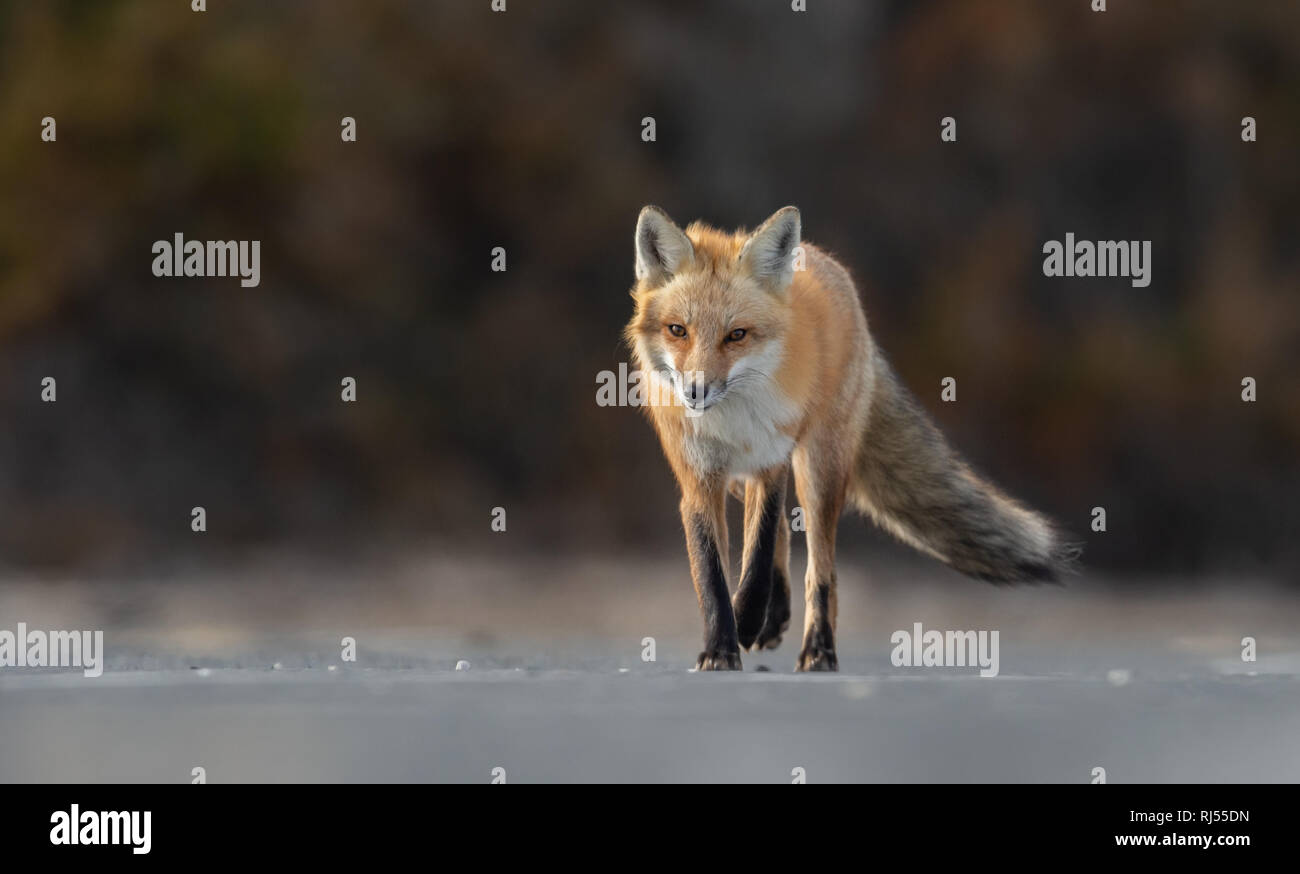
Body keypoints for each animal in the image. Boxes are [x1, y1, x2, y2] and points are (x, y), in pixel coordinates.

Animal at [625, 205, 1079, 672]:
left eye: (737, 335)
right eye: (678, 330)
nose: (695, 391)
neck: (730, 420)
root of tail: (828, 263)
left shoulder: (770, 462)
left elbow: (759, 554)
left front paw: (747, 620)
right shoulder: (700, 478)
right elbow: (713, 573)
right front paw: (720, 646)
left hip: (819, 471)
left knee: (820, 569)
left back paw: (817, 649)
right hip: (749, 476)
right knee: (783, 533)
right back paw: (777, 618)